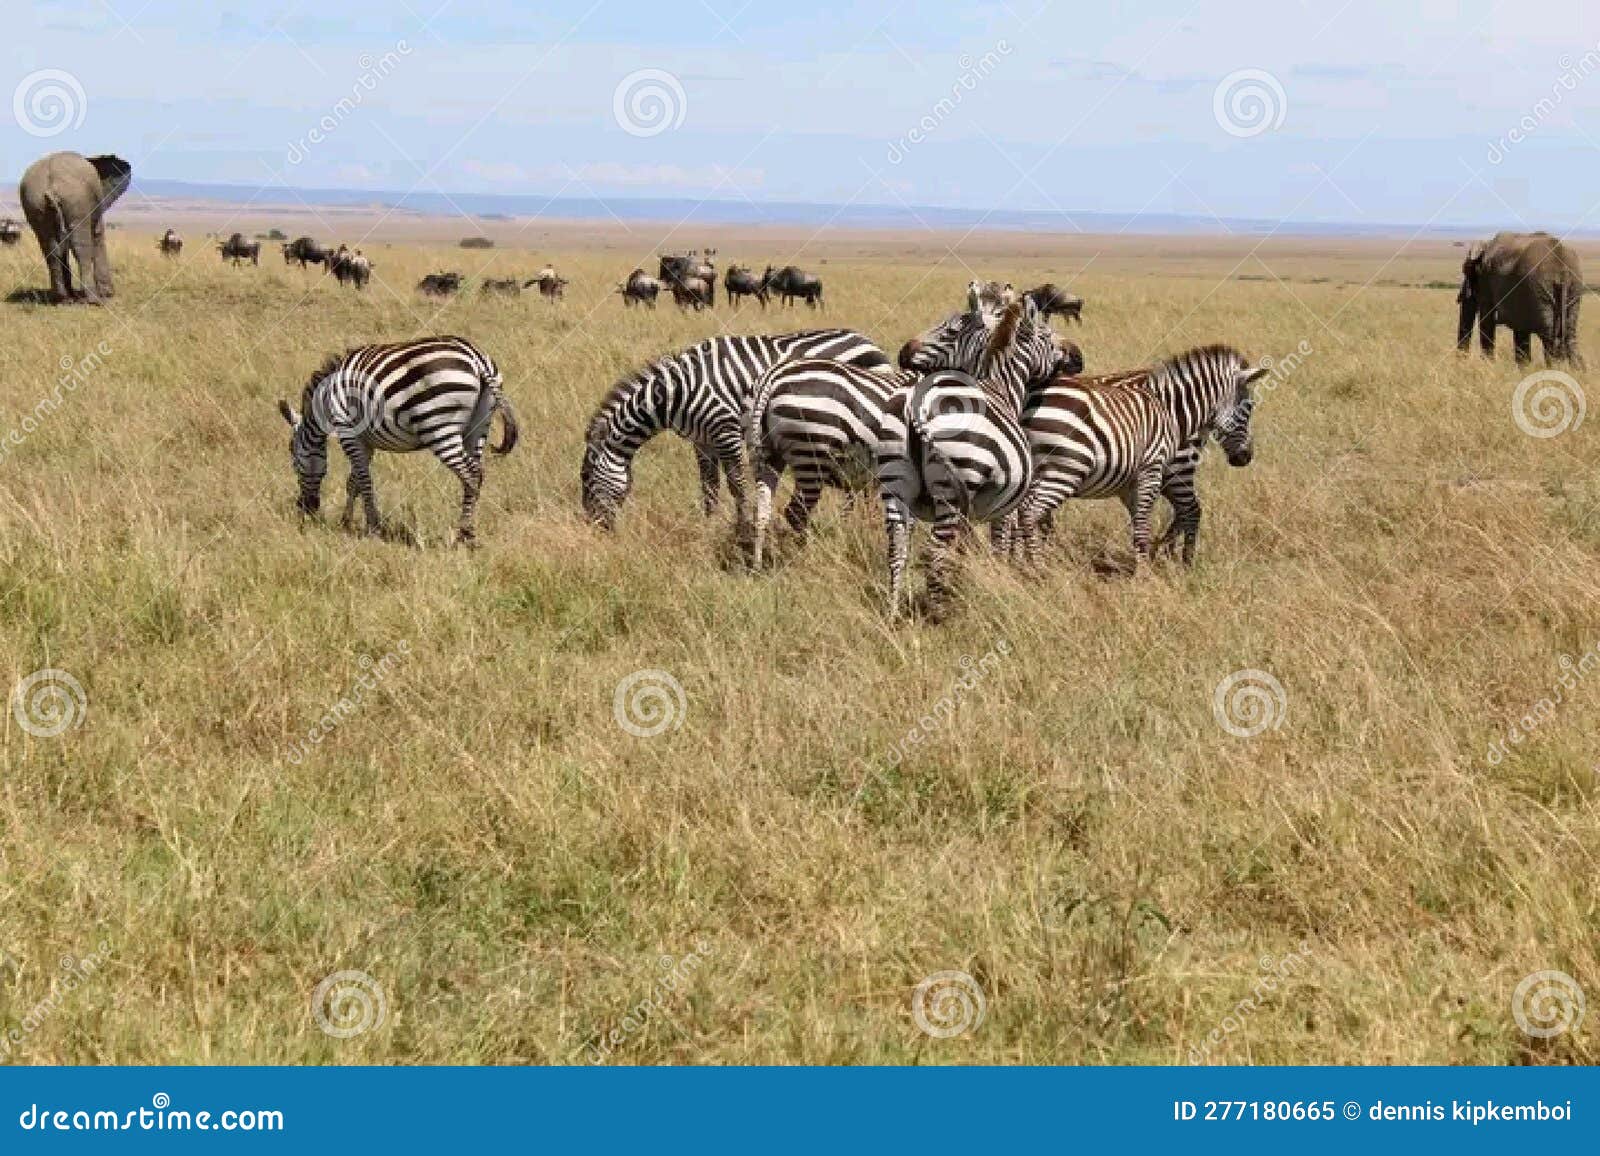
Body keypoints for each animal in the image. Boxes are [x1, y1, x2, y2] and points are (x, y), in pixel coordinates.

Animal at [18, 151, 132, 304]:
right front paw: (108, 294)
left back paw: (64, 299)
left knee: (51, 247)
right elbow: (97, 235)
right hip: (76, 199)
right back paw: (93, 300)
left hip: (34, 202)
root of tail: (50, 185)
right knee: (80, 247)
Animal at [276, 336, 520, 546]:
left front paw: (373, 528)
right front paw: (347, 523)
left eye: (292, 455)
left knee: (470, 473)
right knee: (478, 472)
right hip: (479, 425)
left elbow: (363, 480)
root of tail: (476, 358)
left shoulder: (348, 432)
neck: (326, 400)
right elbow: (353, 482)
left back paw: (464, 534)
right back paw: (467, 534)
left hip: (439, 426)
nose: (305, 508)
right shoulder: (365, 441)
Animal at [581, 329, 893, 532]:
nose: (593, 528)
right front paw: (708, 524)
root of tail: (868, 341)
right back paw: (855, 523)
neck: (677, 394)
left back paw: (857, 523)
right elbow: (709, 485)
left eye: (586, 478)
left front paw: (741, 525)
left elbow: (737, 484)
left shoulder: (725, 431)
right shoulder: (702, 441)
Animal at [1011, 344, 1265, 571]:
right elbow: (1142, 527)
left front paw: (1144, 565)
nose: (1246, 457)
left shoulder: (1131, 480)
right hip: (1067, 469)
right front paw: (1144, 574)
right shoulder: (1151, 469)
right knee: (1030, 512)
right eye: (1250, 407)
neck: (1169, 410)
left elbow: (1138, 525)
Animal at [1457, 231, 1584, 366]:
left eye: (1465, 271)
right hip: (1573, 289)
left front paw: (1489, 364)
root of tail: (1562, 272)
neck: (1485, 245)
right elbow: (1520, 331)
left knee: (1550, 337)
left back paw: (1555, 367)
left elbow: (1487, 321)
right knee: (1569, 335)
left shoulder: (1487, 282)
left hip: (1537, 289)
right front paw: (1524, 367)